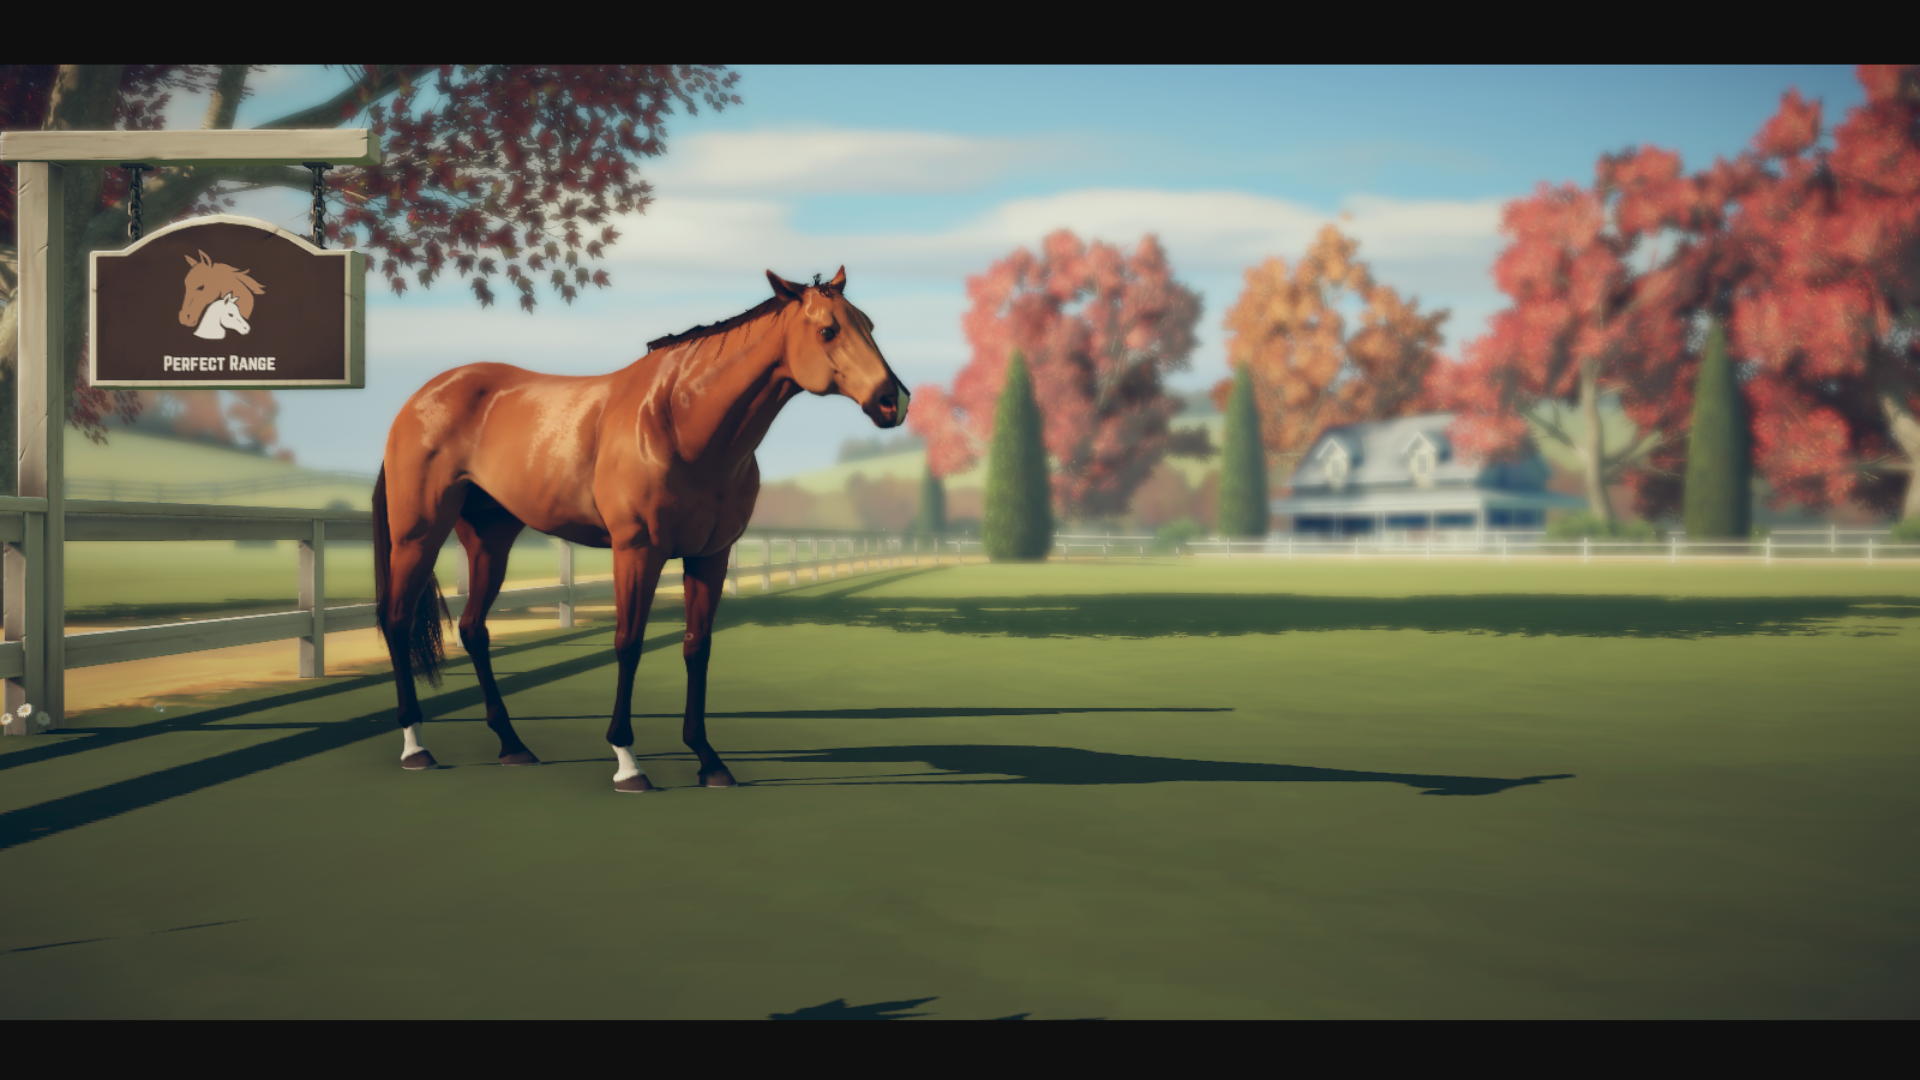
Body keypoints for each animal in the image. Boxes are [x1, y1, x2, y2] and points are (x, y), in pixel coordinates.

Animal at [373, 268, 908, 792]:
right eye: (828, 330)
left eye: (869, 326)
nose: (894, 401)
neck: (678, 421)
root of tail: (420, 399)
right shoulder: (636, 550)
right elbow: (628, 643)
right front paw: (628, 763)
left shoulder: (710, 556)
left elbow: (697, 646)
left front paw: (709, 761)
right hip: (418, 534)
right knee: (396, 620)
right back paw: (415, 748)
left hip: (490, 539)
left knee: (473, 628)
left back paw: (512, 745)